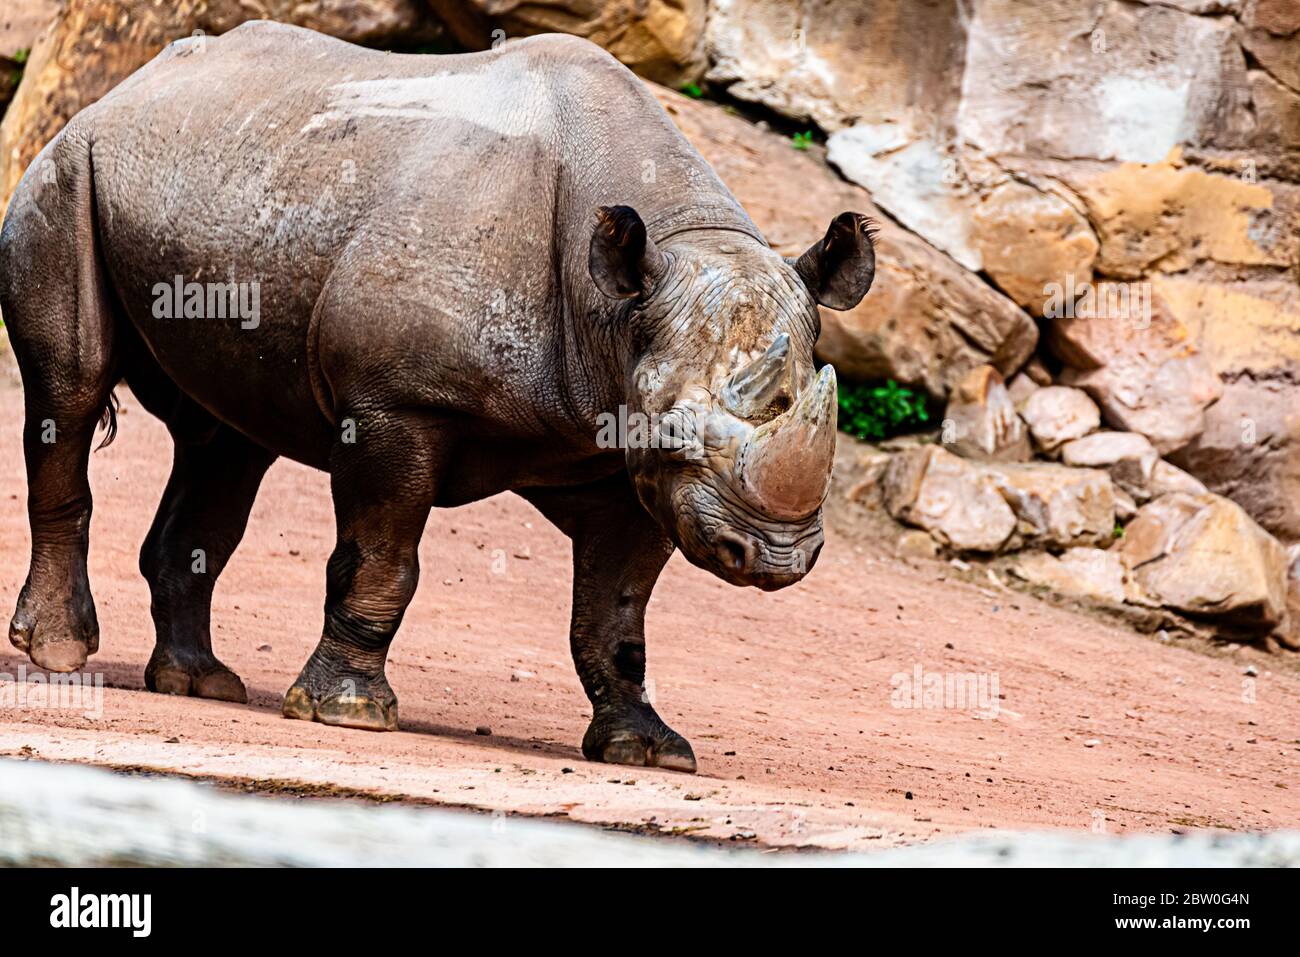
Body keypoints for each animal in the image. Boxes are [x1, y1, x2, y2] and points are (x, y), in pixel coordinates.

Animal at [0, 21, 874, 771]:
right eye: (679, 436)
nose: (774, 558)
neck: (621, 303)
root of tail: (125, 91)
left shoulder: (620, 455)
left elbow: (617, 613)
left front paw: (650, 749)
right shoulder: (401, 403)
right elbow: (382, 560)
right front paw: (347, 710)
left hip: (226, 181)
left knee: (227, 443)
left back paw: (200, 682)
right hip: (68, 167)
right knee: (70, 393)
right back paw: (59, 653)